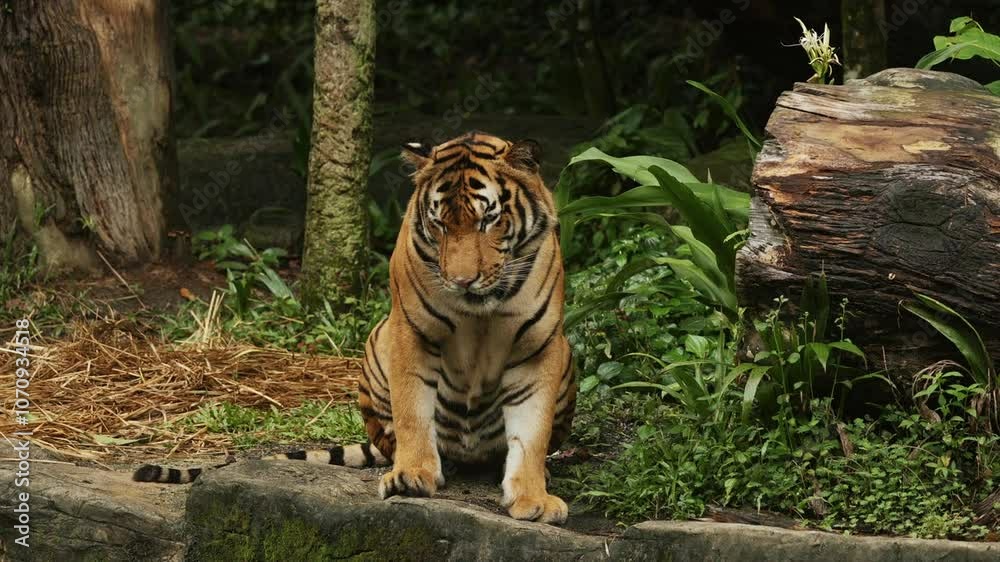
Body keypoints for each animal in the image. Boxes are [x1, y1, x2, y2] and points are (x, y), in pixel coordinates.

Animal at [133, 131, 577, 525]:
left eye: (489, 220)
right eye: (439, 225)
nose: (462, 281)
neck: (479, 311)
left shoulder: (538, 346)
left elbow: (532, 433)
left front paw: (533, 497)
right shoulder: (410, 333)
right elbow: (412, 412)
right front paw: (412, 475)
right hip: (376, 344)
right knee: (393, 436)